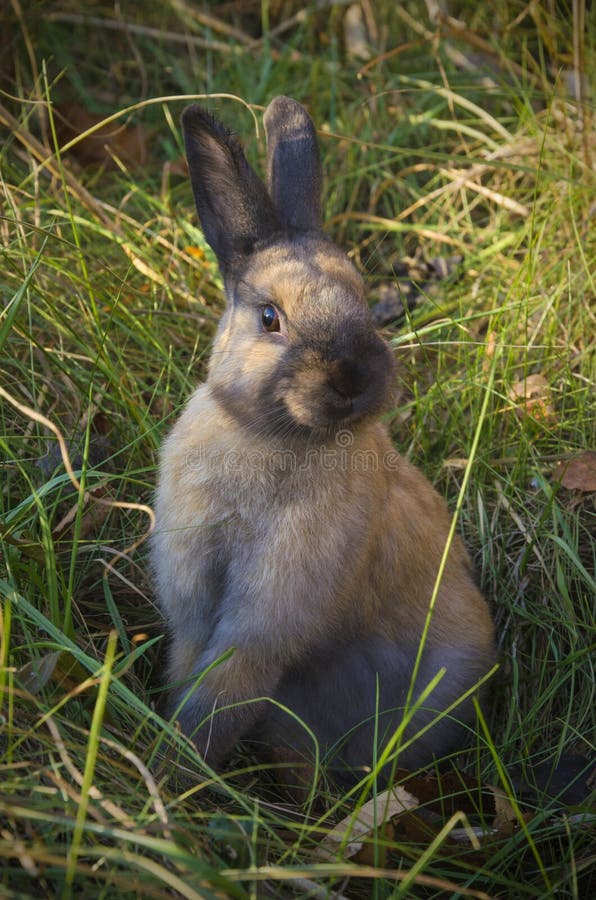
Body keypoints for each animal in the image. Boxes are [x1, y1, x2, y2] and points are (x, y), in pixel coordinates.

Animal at [151, 96, 495, 784]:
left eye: (362, 296)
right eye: (269, 318)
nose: (353, 377)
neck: (268, 435)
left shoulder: (265, 622)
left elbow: (222, 693)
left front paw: (176, 769)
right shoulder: (197, 605)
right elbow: (195, 676)